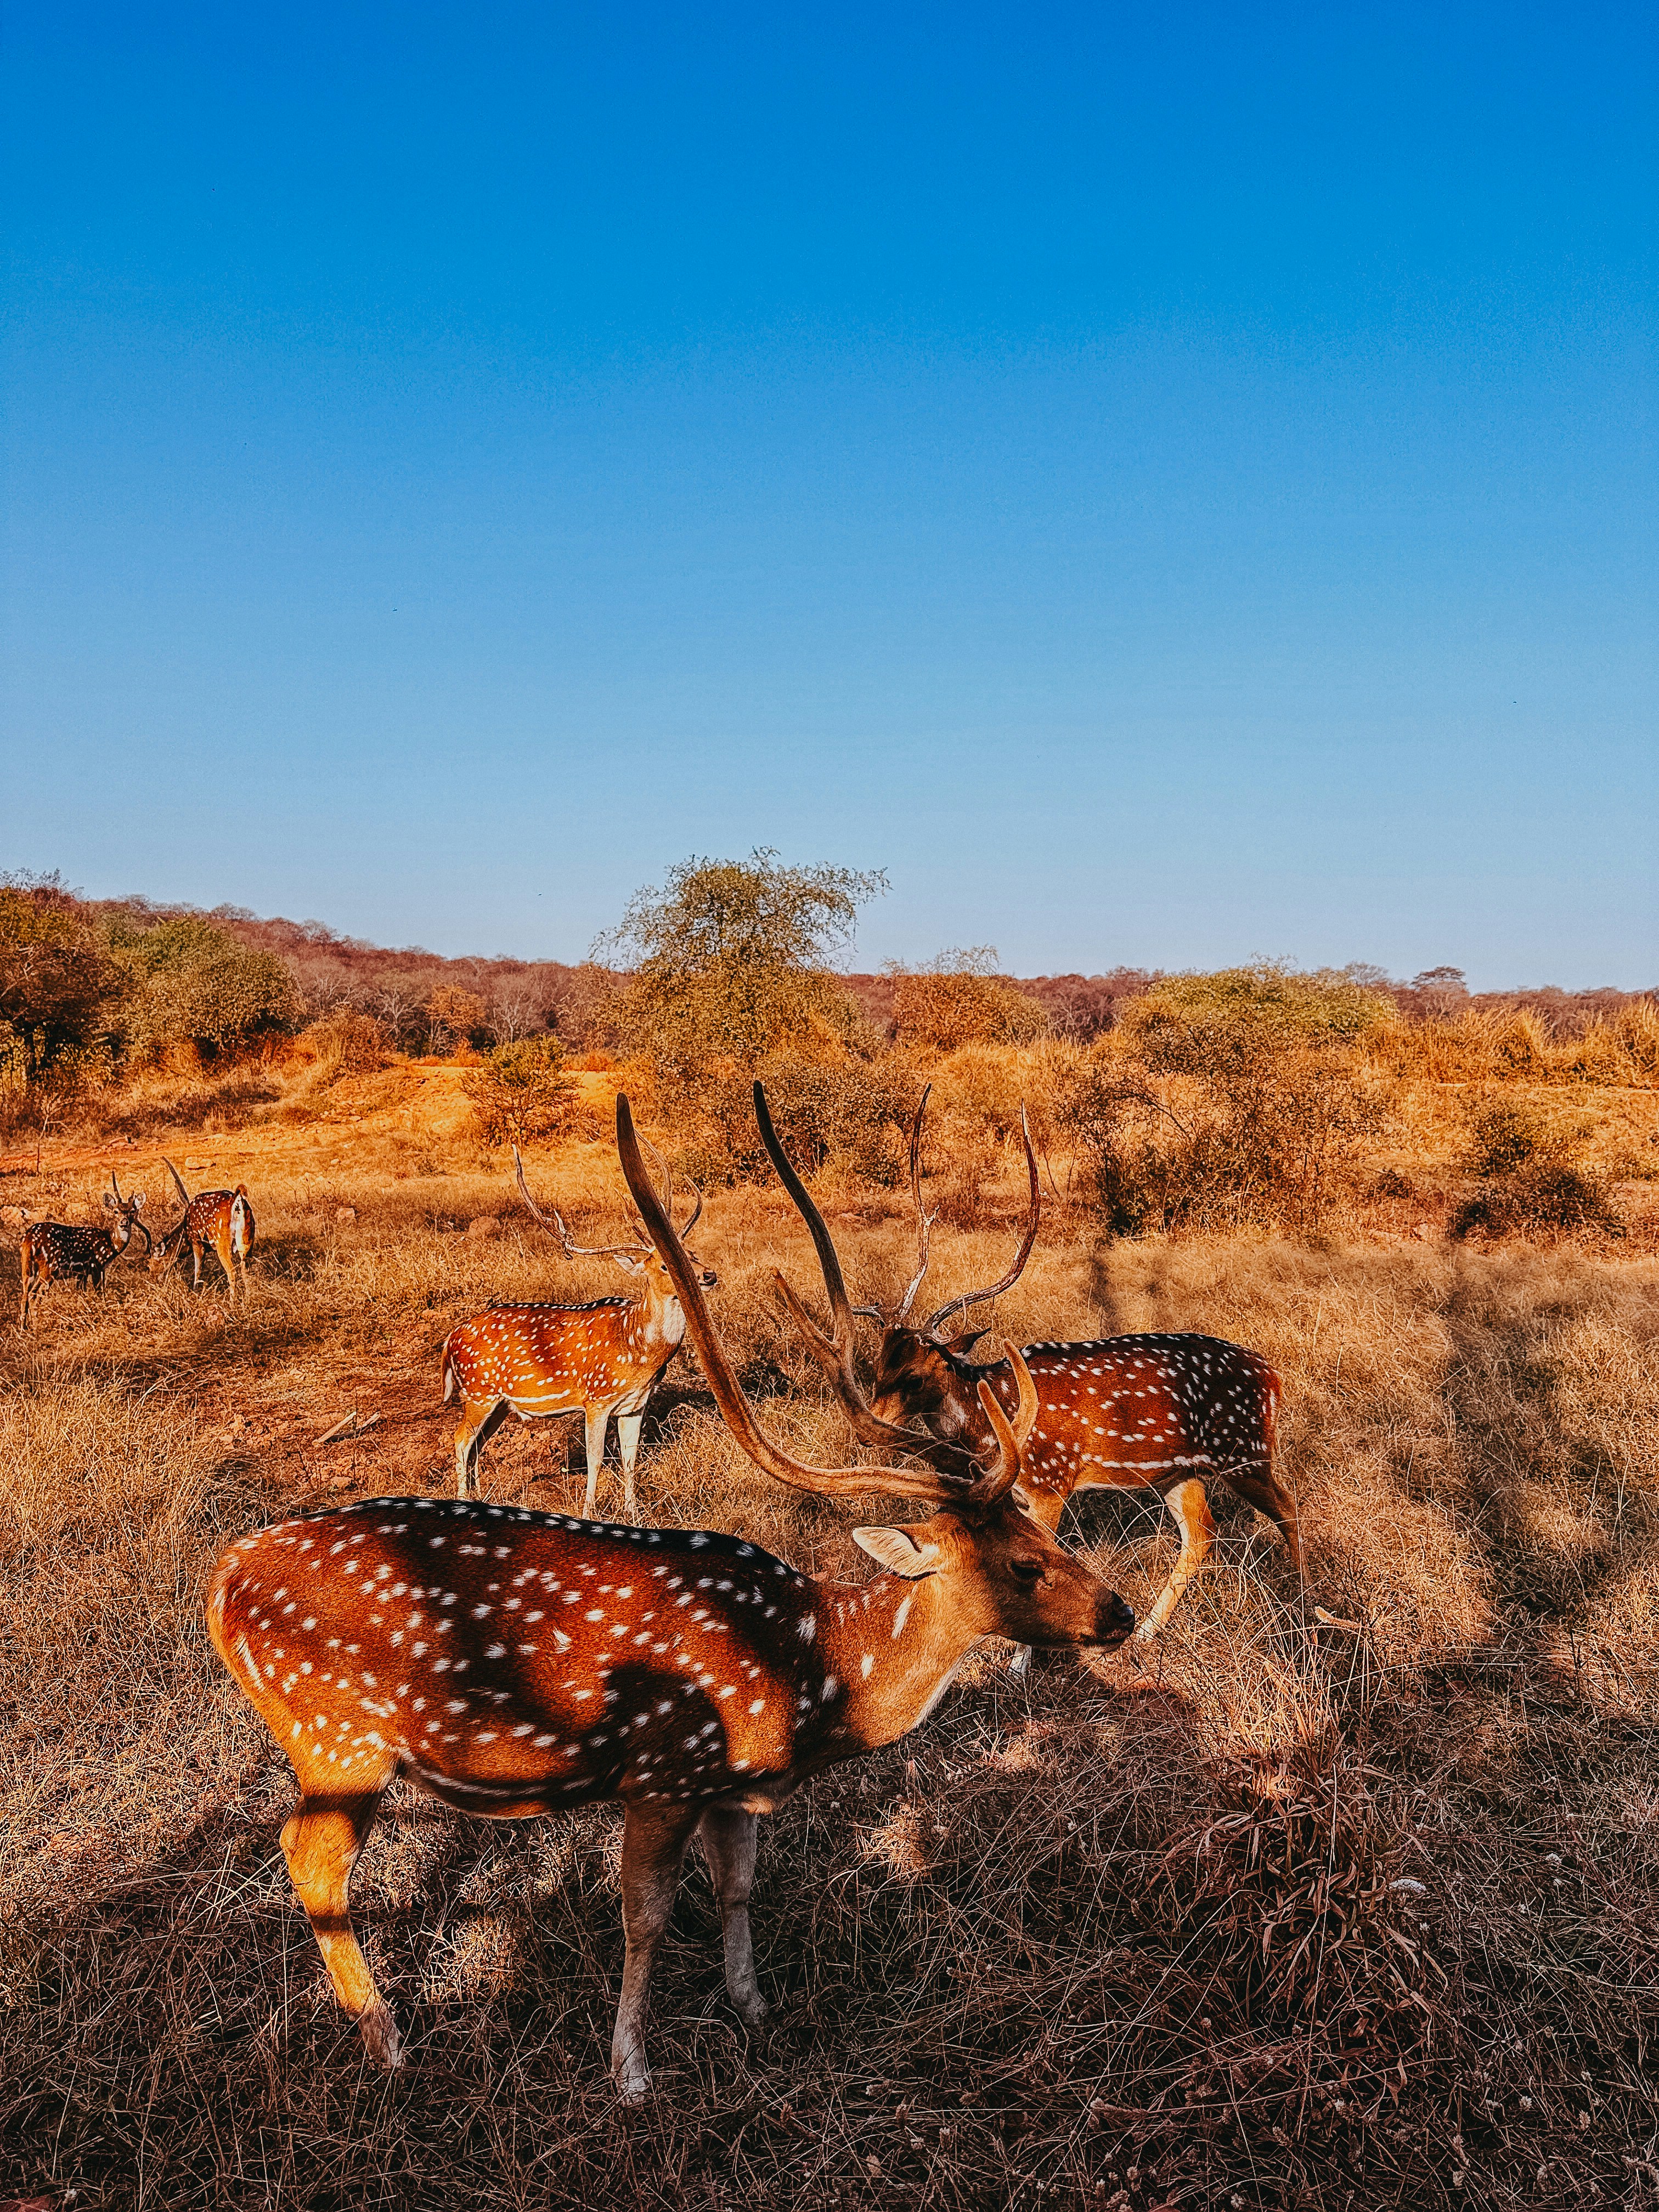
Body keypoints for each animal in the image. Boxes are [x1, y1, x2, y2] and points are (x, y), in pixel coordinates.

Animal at [17, 1172, 151, 1328]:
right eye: (116, 1211)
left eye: (132, 1211)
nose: (124, 1222)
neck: (112, 1245)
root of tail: (29, 1239)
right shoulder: (97, 1265)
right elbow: (99, 1292)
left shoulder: (82, 1273)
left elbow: (82, 1292)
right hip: (50, 1266)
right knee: (34, 1295)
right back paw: (37, 1325)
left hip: (27, 1266)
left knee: (25, 1294)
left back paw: (23, 1329)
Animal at [149, 1159, 256, 1303]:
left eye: (149, 1264)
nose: (152, 1279)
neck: (185, 1233)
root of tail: (238, 1201)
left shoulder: (196, 1241)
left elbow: (197, 1269)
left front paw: (195, 1292)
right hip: (247, 1239)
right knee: (246, 1269)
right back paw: (249, 1300)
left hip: (222, 1241)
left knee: (232, 1272)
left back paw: (232, 1303)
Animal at [439, 1142, 717, 1513]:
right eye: (664, 1265)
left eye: (693, 1252)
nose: (708, 1275)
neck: (639, 1350)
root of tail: (450, 1340)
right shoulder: (596, 1398)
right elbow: (595, 1459)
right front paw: (589, 1511)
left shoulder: (636, 1404)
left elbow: (630, 1457)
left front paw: (632, 1511)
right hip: (478, 1391)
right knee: (459, 1439)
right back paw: (463, 1500)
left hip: (499, 1403)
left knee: (477, 1444)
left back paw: (480, 1497)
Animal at [754, 1081, 1300, 1652]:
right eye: (879, 1366)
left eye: (916, 1375)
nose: (867, 1428)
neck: (987, 1422)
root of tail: (1274, 1376)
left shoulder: (1051, 1480)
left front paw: (1025, 1660)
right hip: (1179, 1469)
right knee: (1202, 1534)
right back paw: (1151, 1631)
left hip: (1246, 1452)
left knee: (1288, 1510)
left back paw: (1309, 1604)